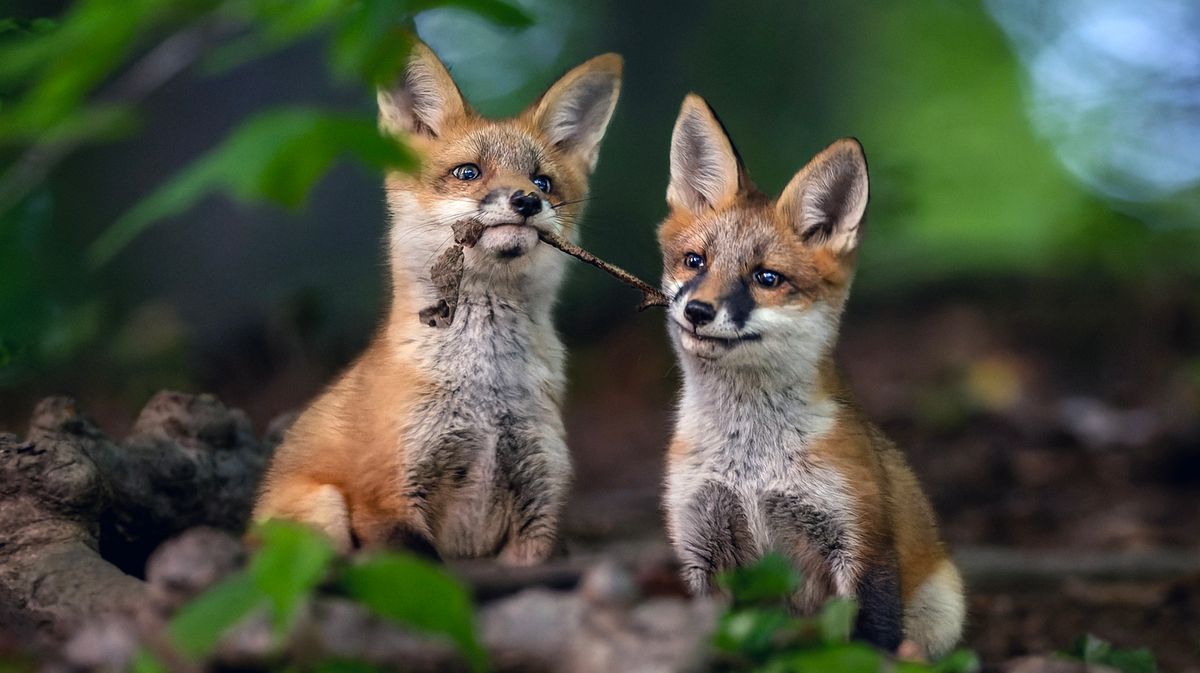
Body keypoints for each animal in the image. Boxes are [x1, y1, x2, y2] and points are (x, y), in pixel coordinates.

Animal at [252, 42, 622, 565]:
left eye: (543, 182)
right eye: (468, 173)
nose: (526, 201)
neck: (487, 392)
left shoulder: (540, 498)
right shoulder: (389, 495)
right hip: (320, 508)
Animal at [657, 94, 965, 657]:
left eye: (766, 278)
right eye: (694, 261)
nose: (697, 310)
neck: (752, 463)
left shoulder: (860, 542)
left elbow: (868, 645)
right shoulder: (698, 544)